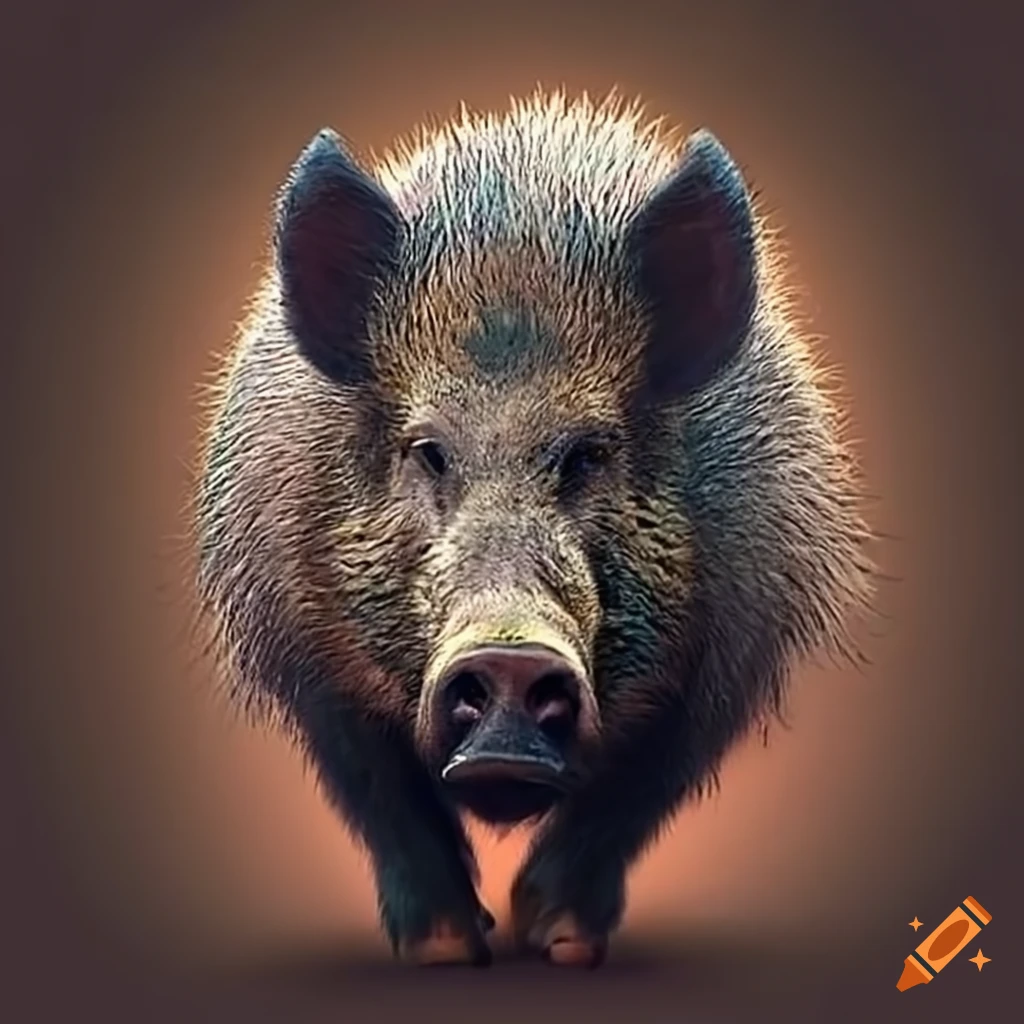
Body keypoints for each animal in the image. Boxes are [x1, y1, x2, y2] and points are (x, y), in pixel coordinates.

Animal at [193, 91, 874, 969]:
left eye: (589, 453)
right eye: (428, 451)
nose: (510, 653)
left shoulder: (731, 651)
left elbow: (629, 796)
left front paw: (563, 944)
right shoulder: (301, 651)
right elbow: (384, 798)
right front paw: (446, 951)